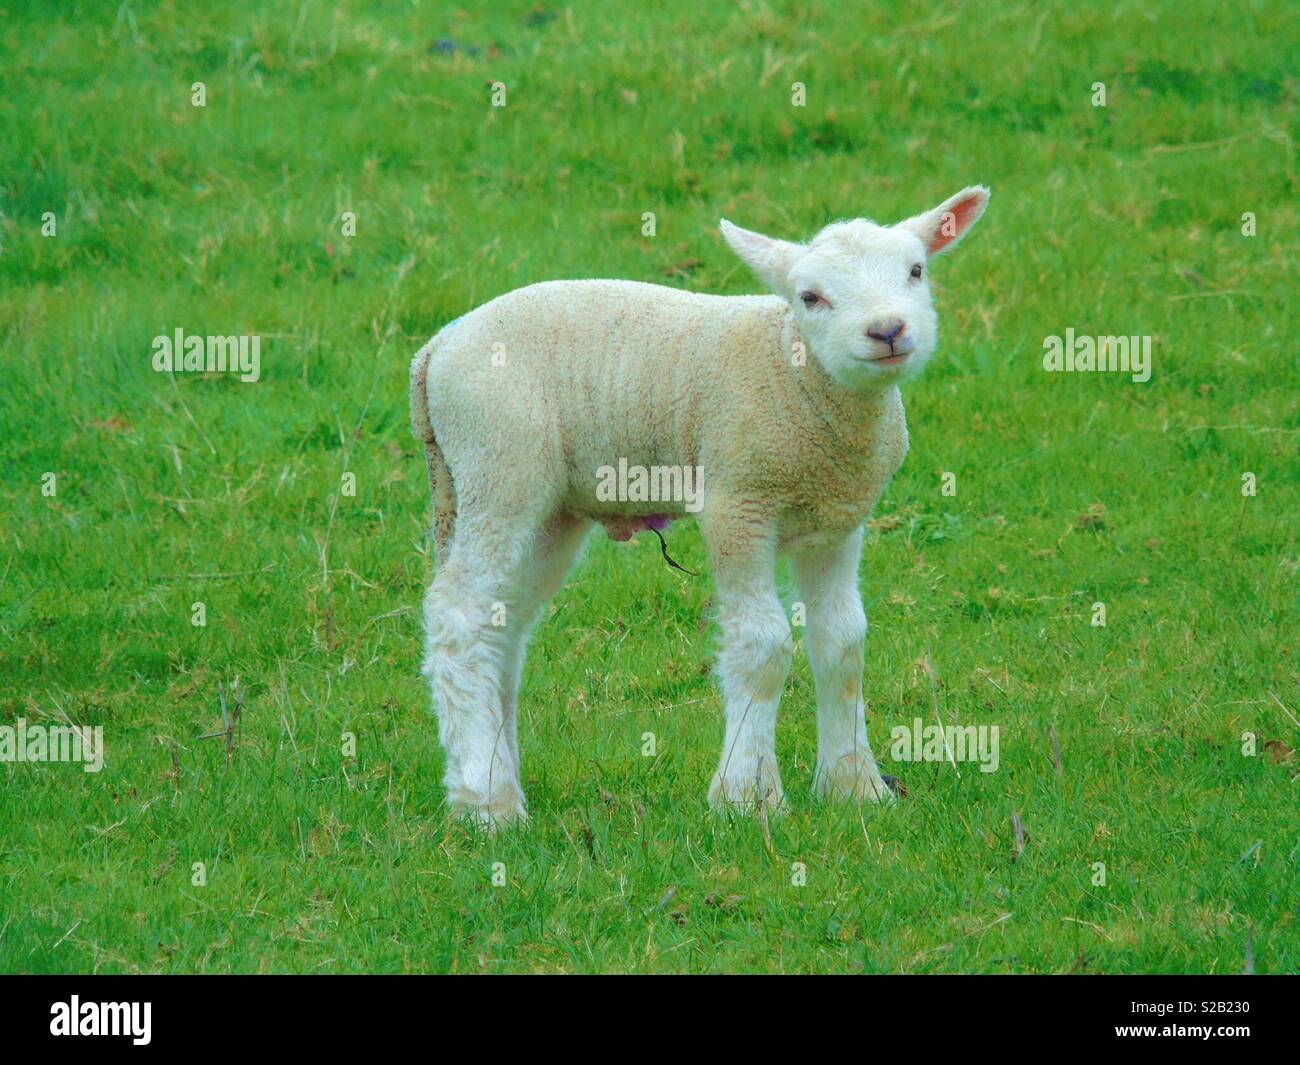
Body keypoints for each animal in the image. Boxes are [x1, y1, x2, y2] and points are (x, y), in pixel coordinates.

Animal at [410, 186, 990, 826]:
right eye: (809, 297)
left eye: (916, 271)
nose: (887, 330)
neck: (794, 372)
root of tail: (435, 349)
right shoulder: (739, 503)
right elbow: (763, 645)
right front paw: (747, 797)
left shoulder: (837, 520)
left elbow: (842, 642)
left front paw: (854, 787)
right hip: (497, 463)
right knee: (460, 619)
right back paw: (486, 803)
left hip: (549, 510)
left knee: (503, 629)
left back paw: (501, 781)